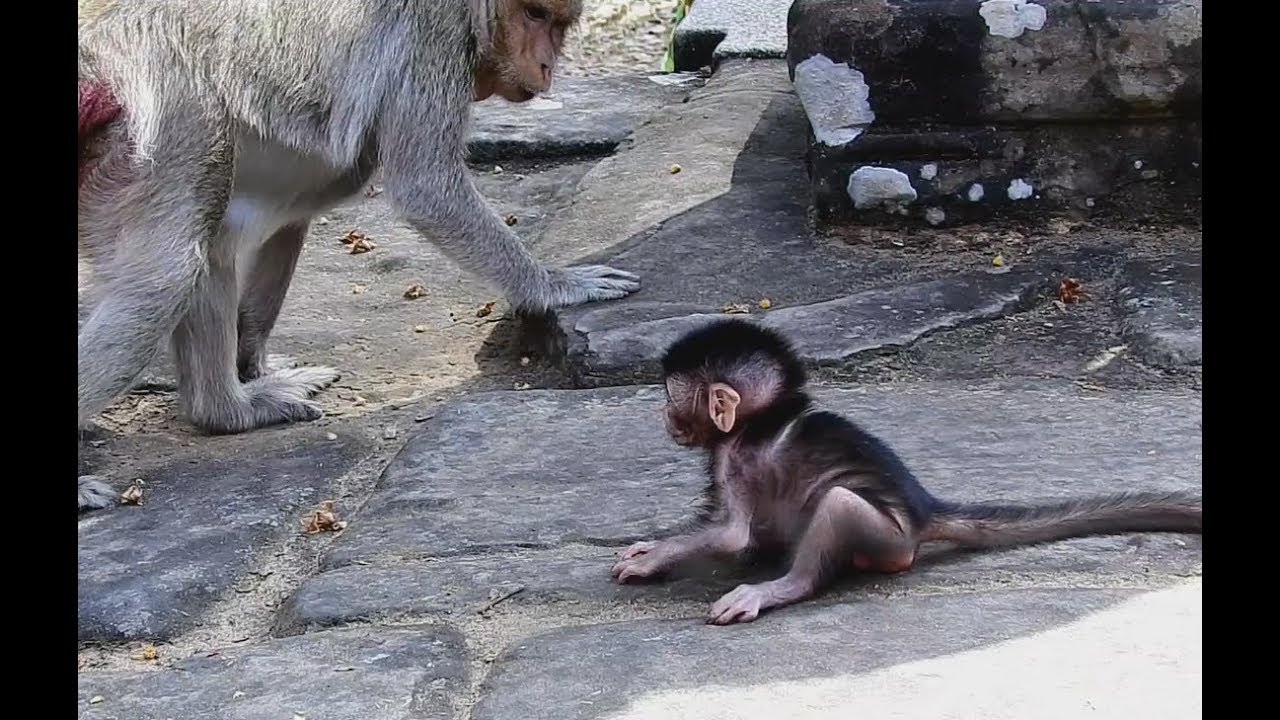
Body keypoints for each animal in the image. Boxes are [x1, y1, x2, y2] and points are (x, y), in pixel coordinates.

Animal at [76, 0, 640, 511]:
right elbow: (425, 186)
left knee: (210, 241)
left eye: (557, 24)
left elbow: (286, 216)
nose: (546, 65)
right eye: (534, 15)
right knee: (167, 276)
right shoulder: (431, 42)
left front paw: (254, 360)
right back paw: (220, 411)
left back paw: (225, 406)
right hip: (167, 120)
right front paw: (552, 284)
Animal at [611, 319, 1203, 625]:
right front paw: (651, 550)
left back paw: (779, 586)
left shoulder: (734, 457)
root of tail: (923, 510)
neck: (759, 421)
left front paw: (653, 558)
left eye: (672, 399)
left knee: (838, 504)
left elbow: (731, 532)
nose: (663, 418)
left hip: (890, 541)